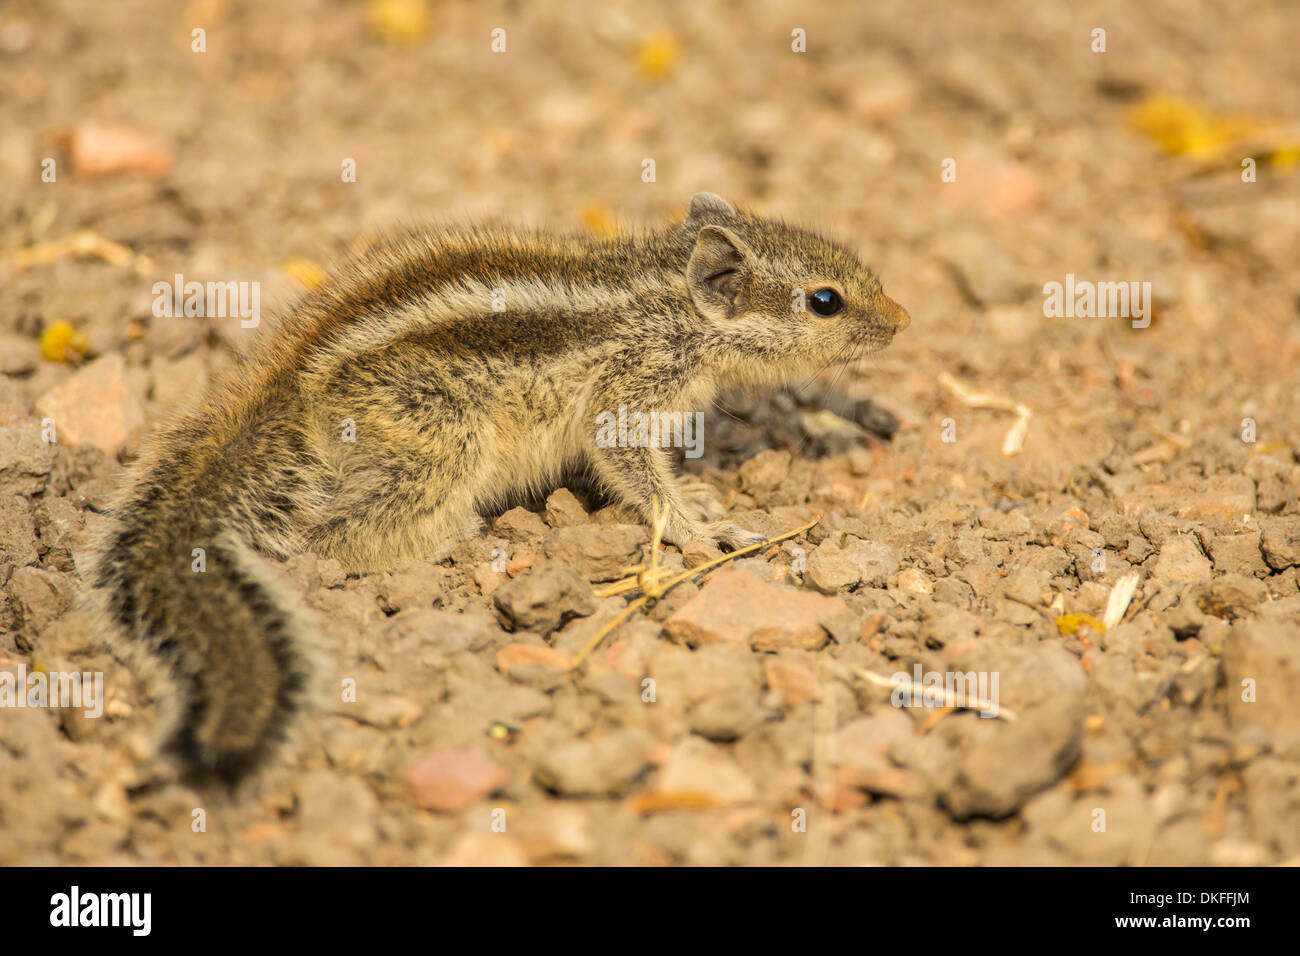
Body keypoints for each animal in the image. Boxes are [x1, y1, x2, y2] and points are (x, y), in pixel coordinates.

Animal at [82, 192, 911, 788]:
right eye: (826, 300)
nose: (904, 317)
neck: (668, 299)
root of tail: (284, 394)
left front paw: (702, 505)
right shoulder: (627, 392)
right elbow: (633, 468)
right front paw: (700, 526)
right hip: (446, 438)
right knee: (337, 537)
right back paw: (455, 536)